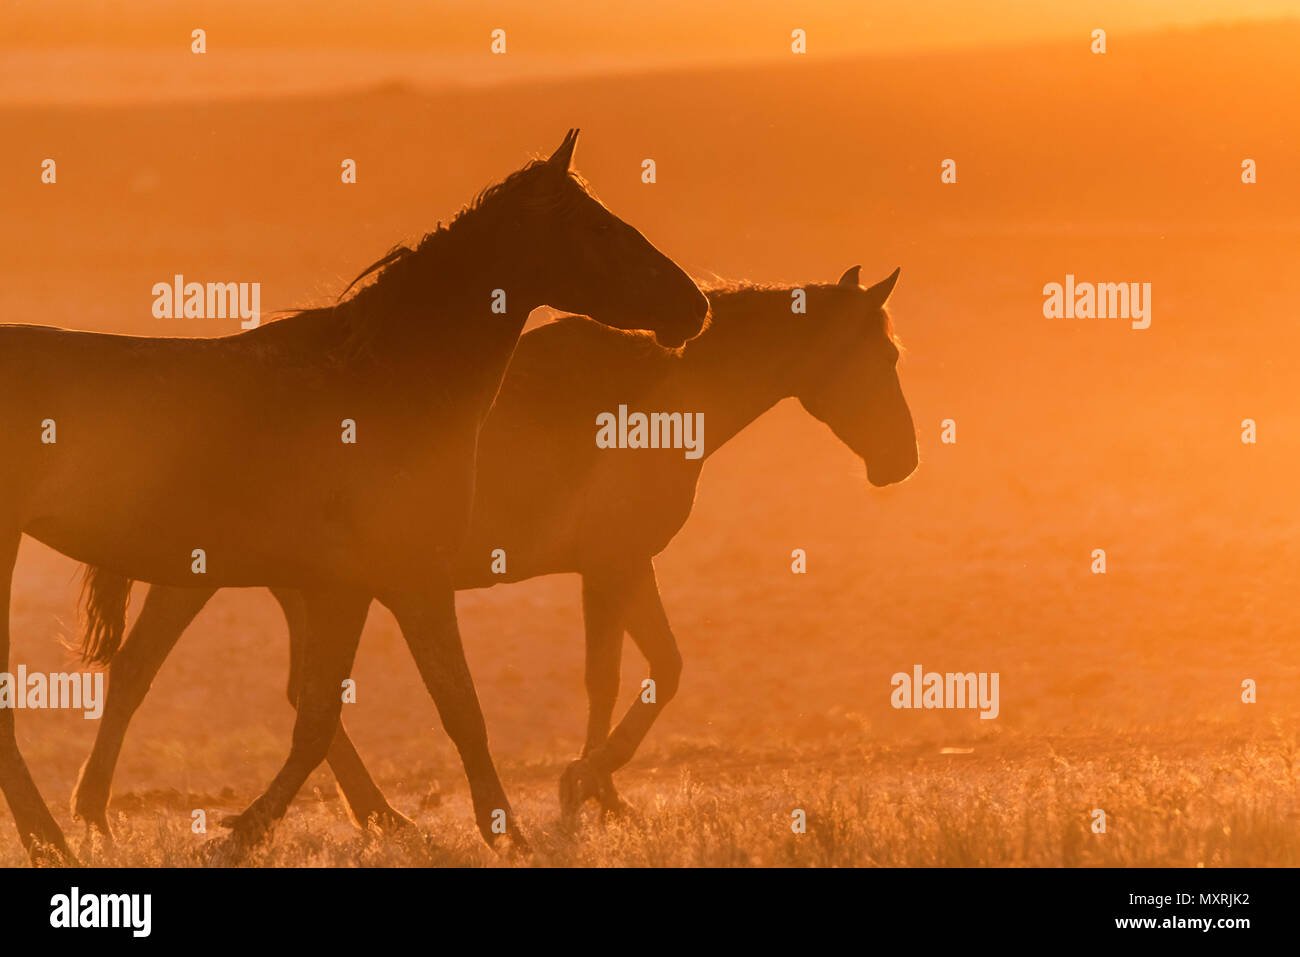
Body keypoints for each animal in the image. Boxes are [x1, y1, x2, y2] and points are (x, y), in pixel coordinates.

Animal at [0, 129, 708, 864]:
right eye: (599, 228)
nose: (694, 305)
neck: (384, 381)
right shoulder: (408, 580)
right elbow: (454, 710)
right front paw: (504, 834)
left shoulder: (348, 587)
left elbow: (325, 716)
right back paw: (53, 842)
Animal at [70, 265, 914, 836]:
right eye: (886, 357)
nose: (902, 461)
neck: (668, 392)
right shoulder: (614, 562)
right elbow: (636, 673)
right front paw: (586, 782)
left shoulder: (615, 566)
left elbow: (630, 672)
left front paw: (601, 793)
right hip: (219, 574)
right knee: (143, 667)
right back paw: (99, 813)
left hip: (296, 585)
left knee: (288, 693)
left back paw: (380, 816)